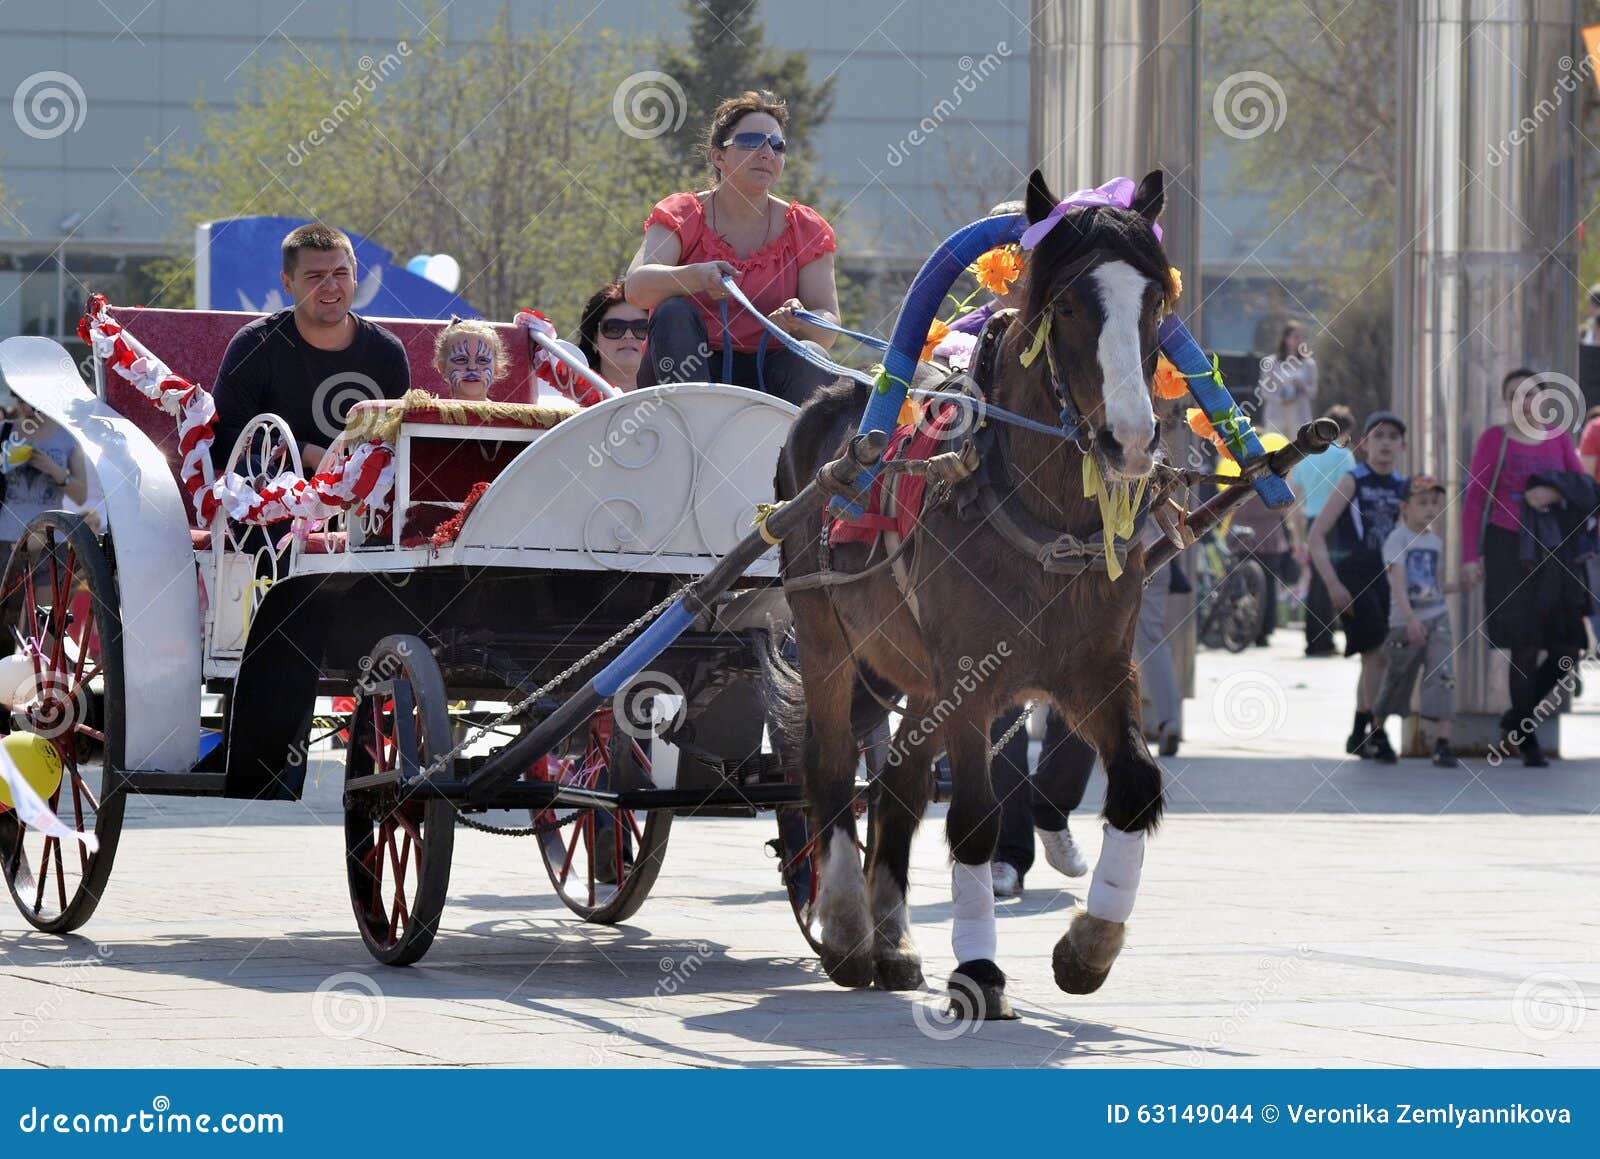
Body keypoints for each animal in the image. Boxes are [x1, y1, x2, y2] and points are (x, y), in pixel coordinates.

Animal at [766, 167, 1173, 1019]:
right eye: (1069, 304)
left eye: (1155, 298)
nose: (1130, 439)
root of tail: (830, 402)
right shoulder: (971, 679)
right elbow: (977, 822)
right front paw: (980, 968)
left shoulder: (1096, 669)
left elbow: (1135, 787)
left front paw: (1091, 944)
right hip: (826, 637)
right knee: (829, 766)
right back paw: (848, 928)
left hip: (915, 671)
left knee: (898, 786)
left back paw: (893, 937)